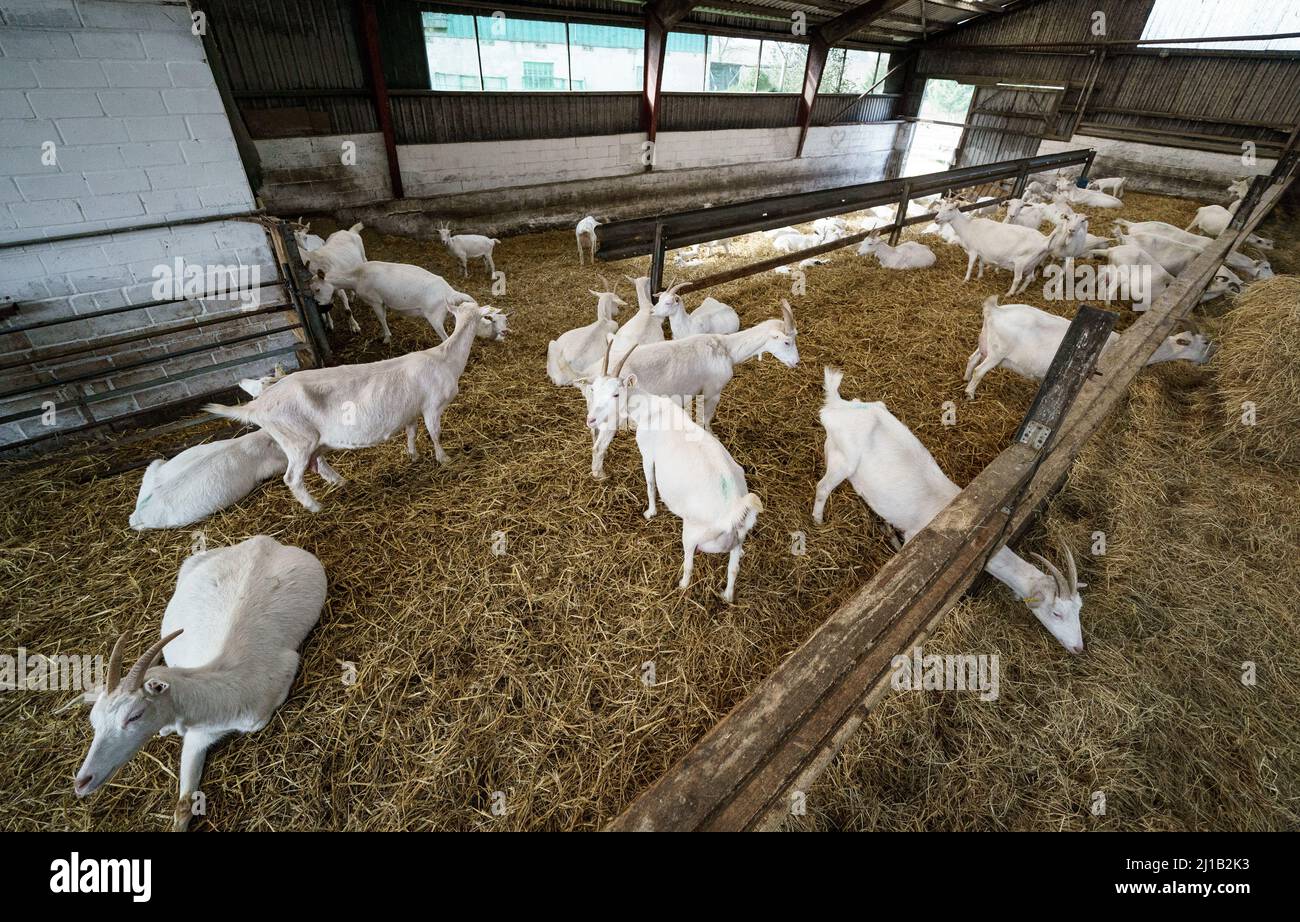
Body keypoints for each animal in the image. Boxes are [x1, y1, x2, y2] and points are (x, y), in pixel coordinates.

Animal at [74, 535, 326, 831]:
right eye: (94, 721)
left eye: (135, 715)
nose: (82, 782)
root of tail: (261, 541)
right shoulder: (197, 735)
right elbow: (183, 804)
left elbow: (184, 805)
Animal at [205, 301, 500, 511]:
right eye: (487, 318)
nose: (501, 331)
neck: (444, 358)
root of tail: (257, 405)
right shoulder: (432, 406)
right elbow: (435, 433)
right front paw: (444, 459)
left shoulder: (411, 410)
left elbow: (412, 433)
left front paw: (414, 455)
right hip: (297, 440)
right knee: (292, 479)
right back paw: (315, 507)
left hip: (308, 441)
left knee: (317, 463)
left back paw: (340, 481)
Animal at [581, 343, 763, 603]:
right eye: (594, 389)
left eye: (616, 394)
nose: (591, 419)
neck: (652, 409)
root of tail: (733, 512)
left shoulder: (648, 453)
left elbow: (650, 482)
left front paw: (650, 512)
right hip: (738, 540)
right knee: (734, 568)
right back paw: (726, 595)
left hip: (692, 532)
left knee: (689, 563)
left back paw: (681, 585)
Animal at [812, 367, 1085, 653]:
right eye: (1056, 613)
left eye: (1079, 609)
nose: (1079, 648)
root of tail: (837, 405)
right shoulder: (915, 537)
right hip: (843, 461)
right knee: (822, 488)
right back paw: (818, 521)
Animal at [963, 296, 1215, 400]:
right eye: (1203, 342)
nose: (1211, 355)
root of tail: (995, 311)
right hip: (997, 352)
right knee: (980, 370)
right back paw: (969, 394)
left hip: (985, 342)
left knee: (972, 359)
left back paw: (964, 379)